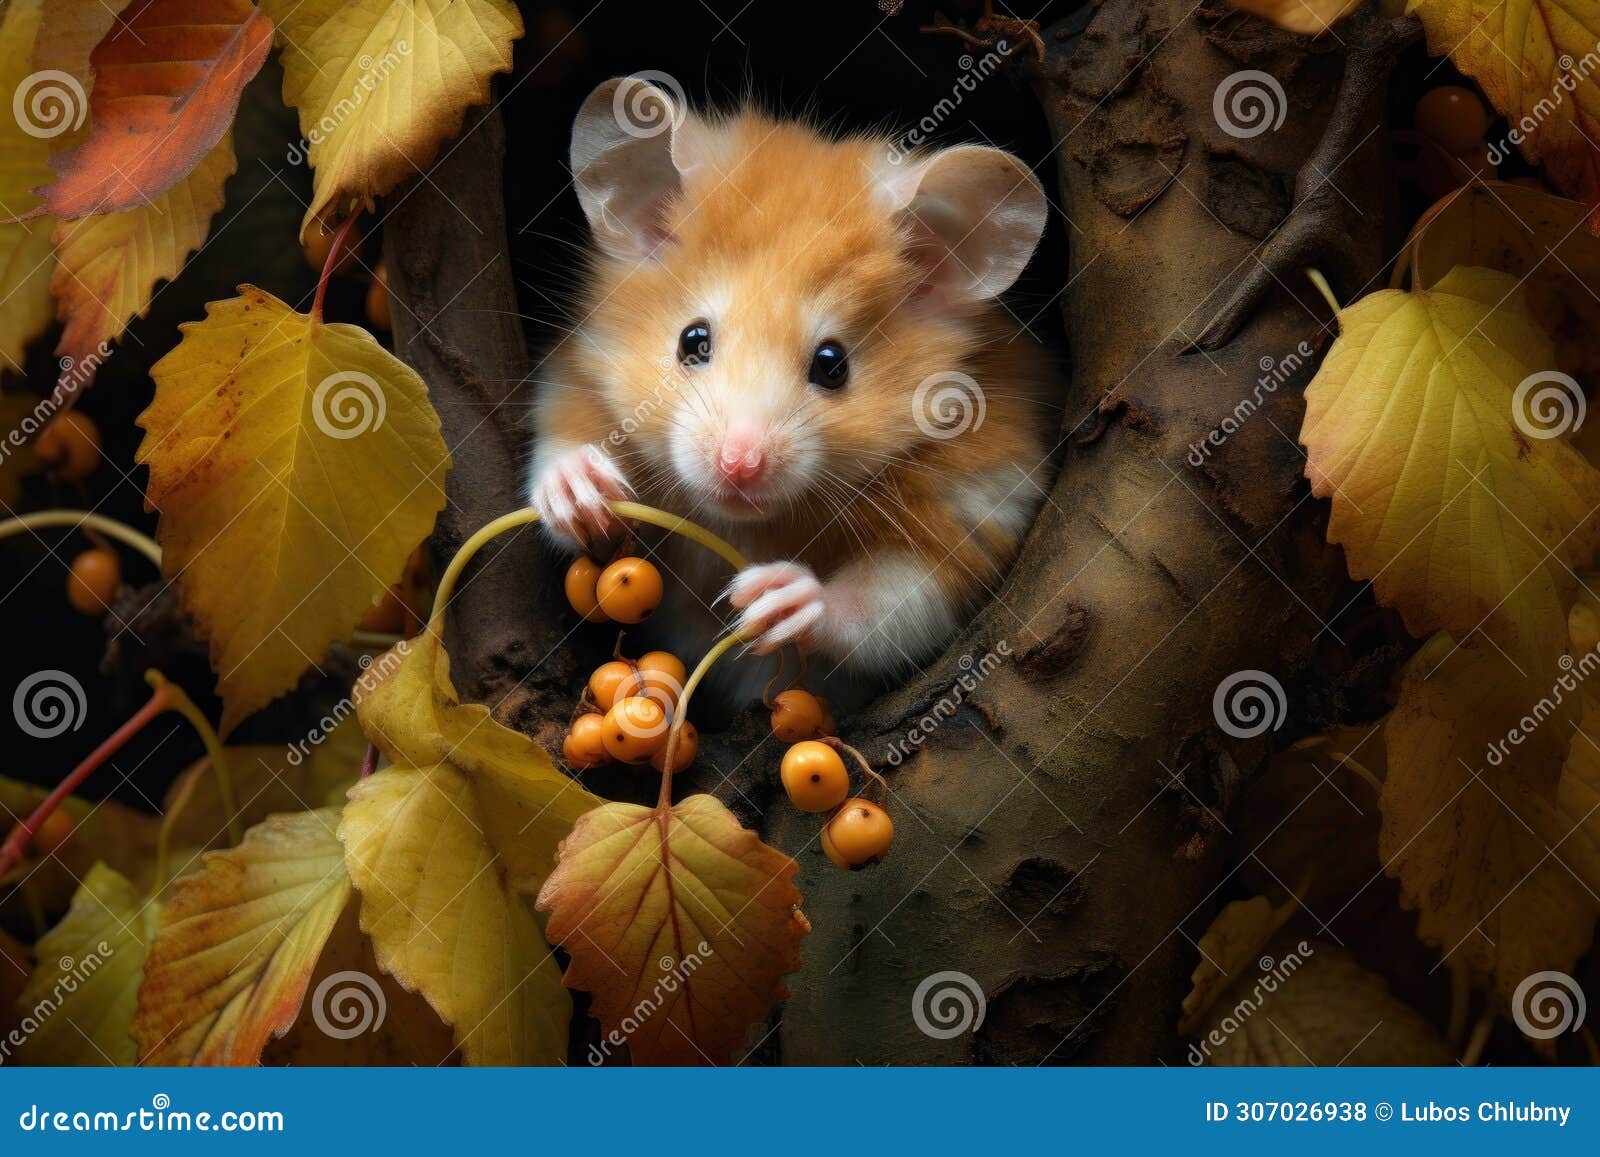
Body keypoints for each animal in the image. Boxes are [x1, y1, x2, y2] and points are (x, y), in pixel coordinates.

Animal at [528, 76, 1055, 708]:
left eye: (833, 365)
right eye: (691, 340)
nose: (738, 467)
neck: (742, 522)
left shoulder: (971, 515)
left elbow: (890, 599)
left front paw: (776, 599)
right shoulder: (575, 376)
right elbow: (564, 459)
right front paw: (578, 489)